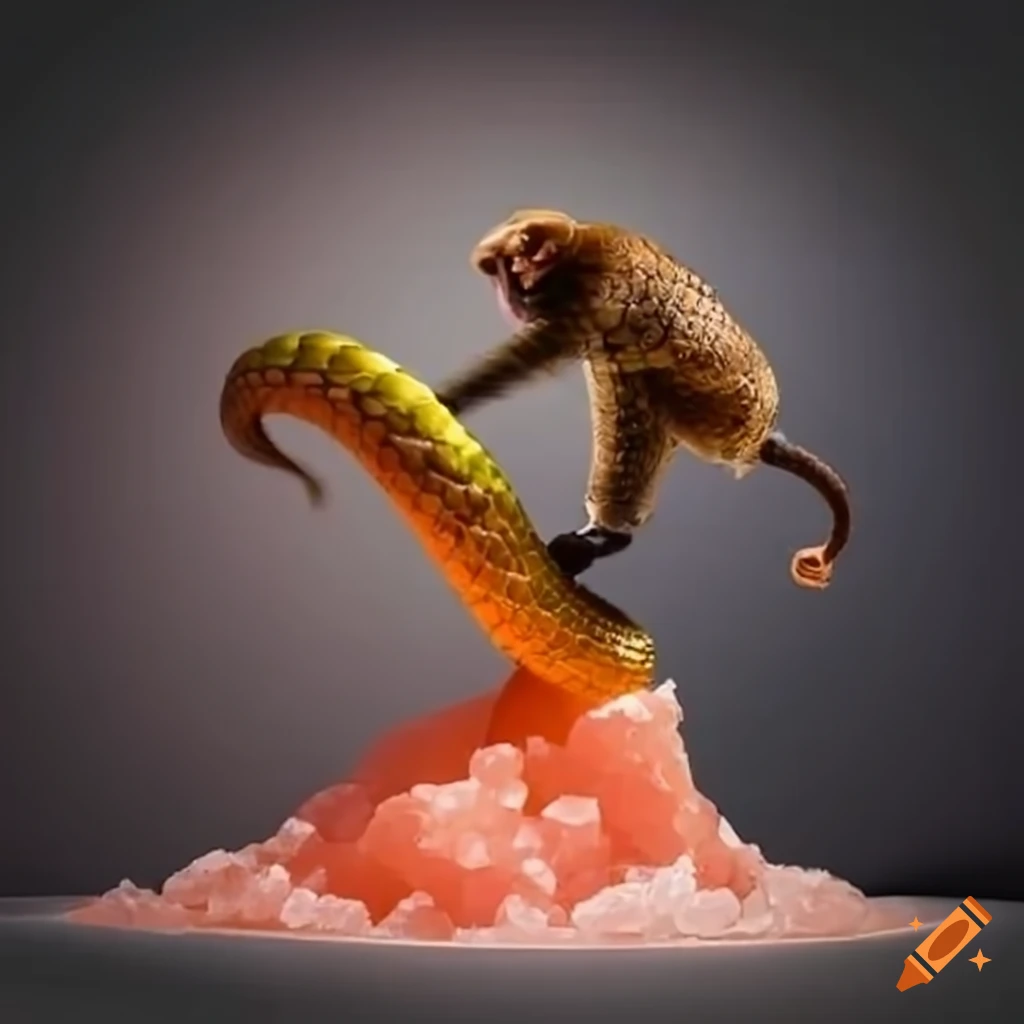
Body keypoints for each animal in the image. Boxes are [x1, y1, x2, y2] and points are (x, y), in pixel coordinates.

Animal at [434, 209, 851, 589]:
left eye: (510, 273)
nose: (508, 300)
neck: (577, 250)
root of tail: (762, 438)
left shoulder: (591, 296)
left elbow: (530, 355)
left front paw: (445, 399)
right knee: (628, 389)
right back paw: (609, 535)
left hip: (719, 406)